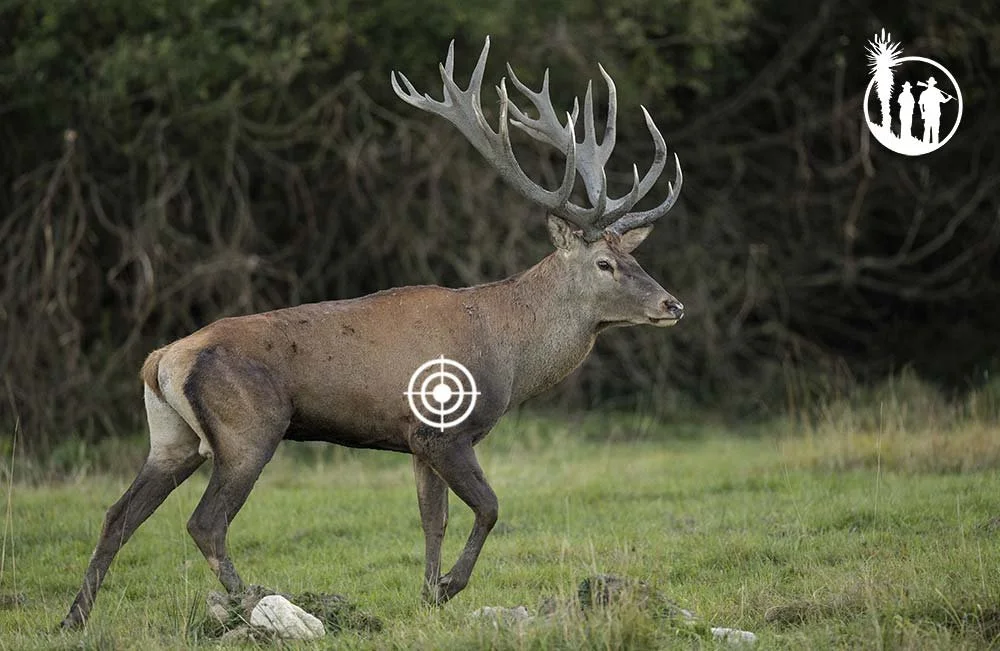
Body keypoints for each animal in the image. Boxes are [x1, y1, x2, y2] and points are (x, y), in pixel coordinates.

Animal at [61, 36, 684, 629]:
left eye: (633, 257)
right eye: (604, 265)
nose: (672, 304)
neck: (507, 350)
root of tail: (161, 360)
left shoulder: (416, 440)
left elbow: (432, 519)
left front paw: (429, 597)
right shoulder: (443, 430)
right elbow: (489, 507)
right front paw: (449, 588)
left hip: (171, 438)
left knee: (118, 514)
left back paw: (74, 617)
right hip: (248, 430)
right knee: (205, 522)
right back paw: (253, 601)